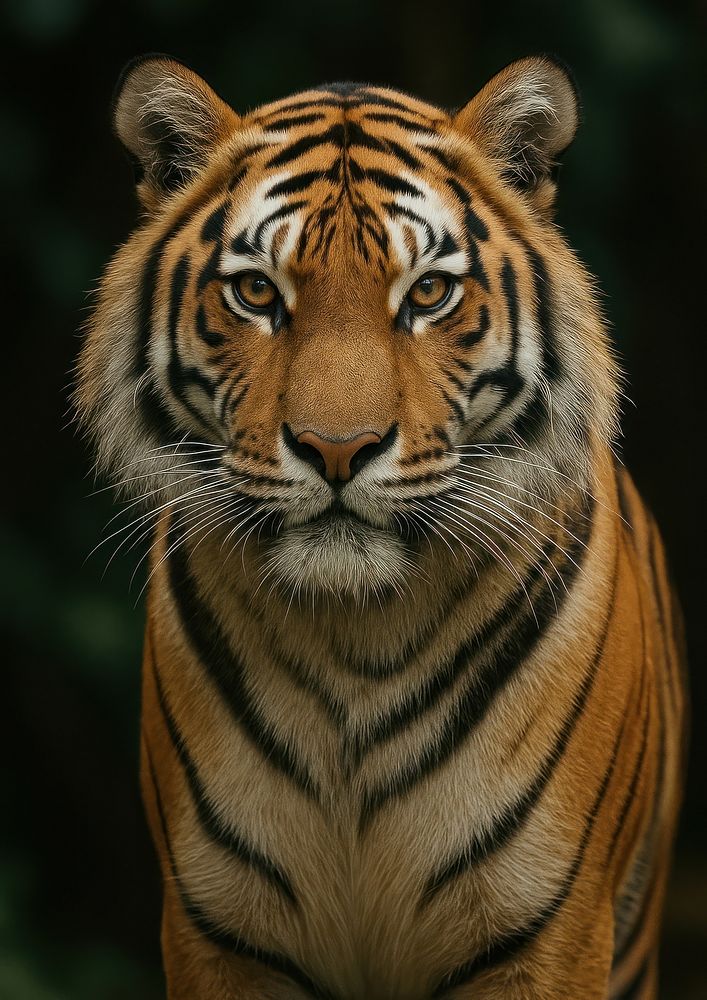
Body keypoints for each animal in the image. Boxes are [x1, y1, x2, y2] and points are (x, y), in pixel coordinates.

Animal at [76, 53, 687, 999]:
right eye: (256, 291)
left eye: (428, 292)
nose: (338, 449)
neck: (352, 636)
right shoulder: (218, 933)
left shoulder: (549, 931)